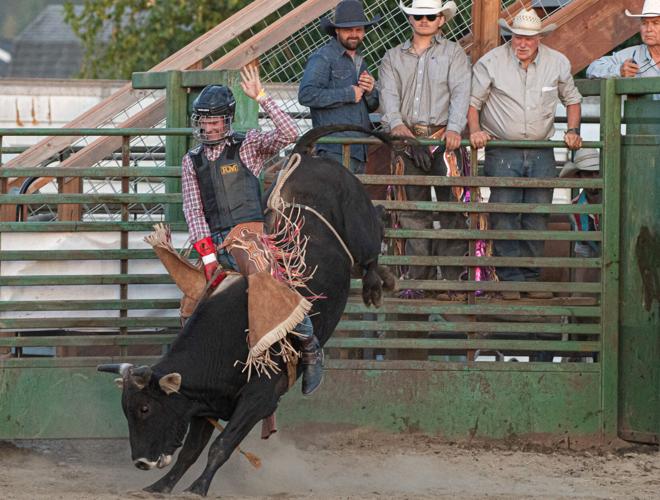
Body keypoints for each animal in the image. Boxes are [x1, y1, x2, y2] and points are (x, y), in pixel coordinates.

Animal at [98, 125, 397, 496]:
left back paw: (376, 286)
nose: (141, 462)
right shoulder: (204, 406)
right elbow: (191, 452)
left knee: (374, 236)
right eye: (127, 410)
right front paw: (160, 485)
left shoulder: (259, 398)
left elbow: (221, 445)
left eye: (145, 407)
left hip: (360, 226)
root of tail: (304, 157)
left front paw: (198, 488)